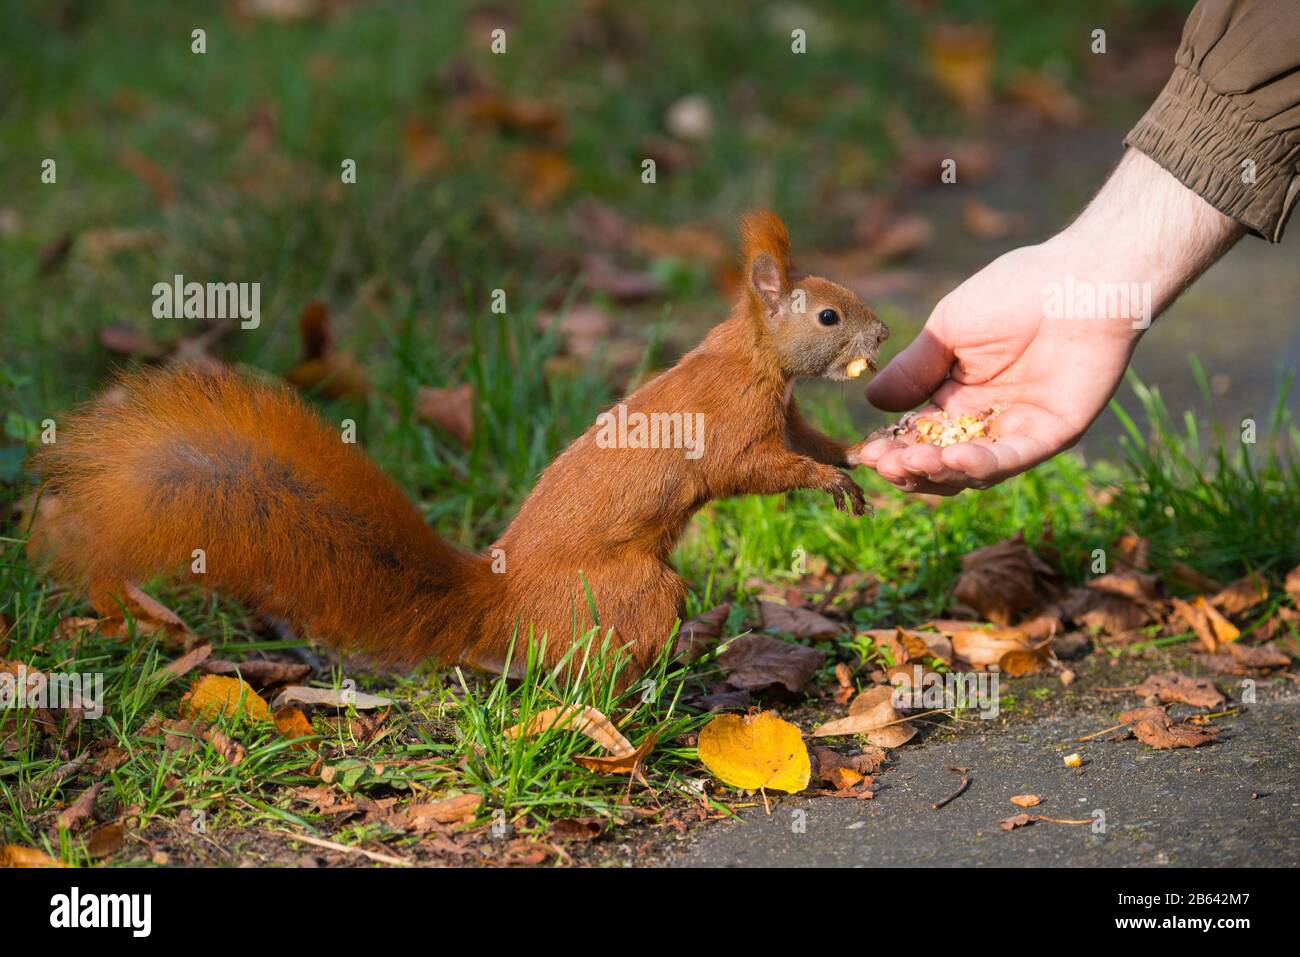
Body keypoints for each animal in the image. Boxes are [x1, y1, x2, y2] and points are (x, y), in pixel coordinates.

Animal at [34, 210, 888, 680]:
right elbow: (756, 468)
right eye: (829, 317)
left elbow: (809, 437)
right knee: (593, 665)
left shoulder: (783, 412)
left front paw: (855, 456)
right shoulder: (732, 422)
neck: (750, 354)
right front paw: (829, 481)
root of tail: (500, 601)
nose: (883, 333)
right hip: (634, 589)